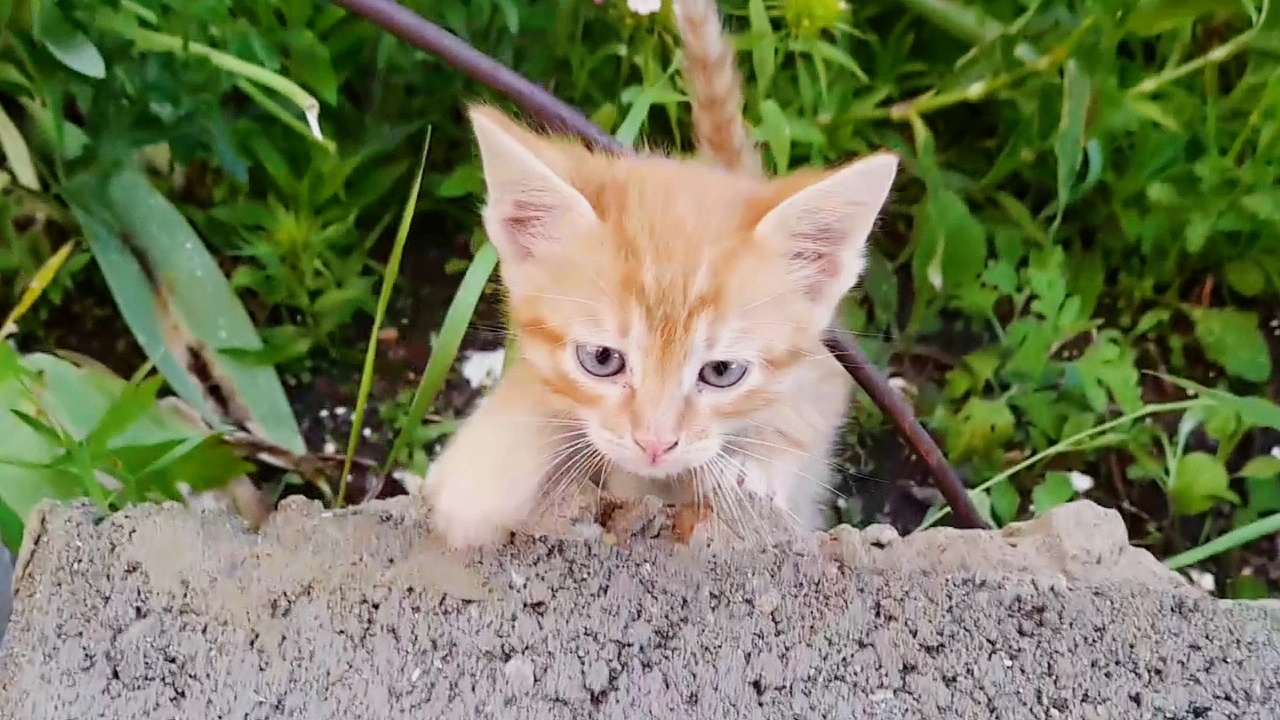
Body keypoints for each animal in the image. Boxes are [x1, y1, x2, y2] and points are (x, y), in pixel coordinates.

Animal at [422, 0, 901, 545]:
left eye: (722, 372)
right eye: (602, 359)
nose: (654, 443)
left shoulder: (821, 374)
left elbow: (797, 426)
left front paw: (755, 469)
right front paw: (479, 478)